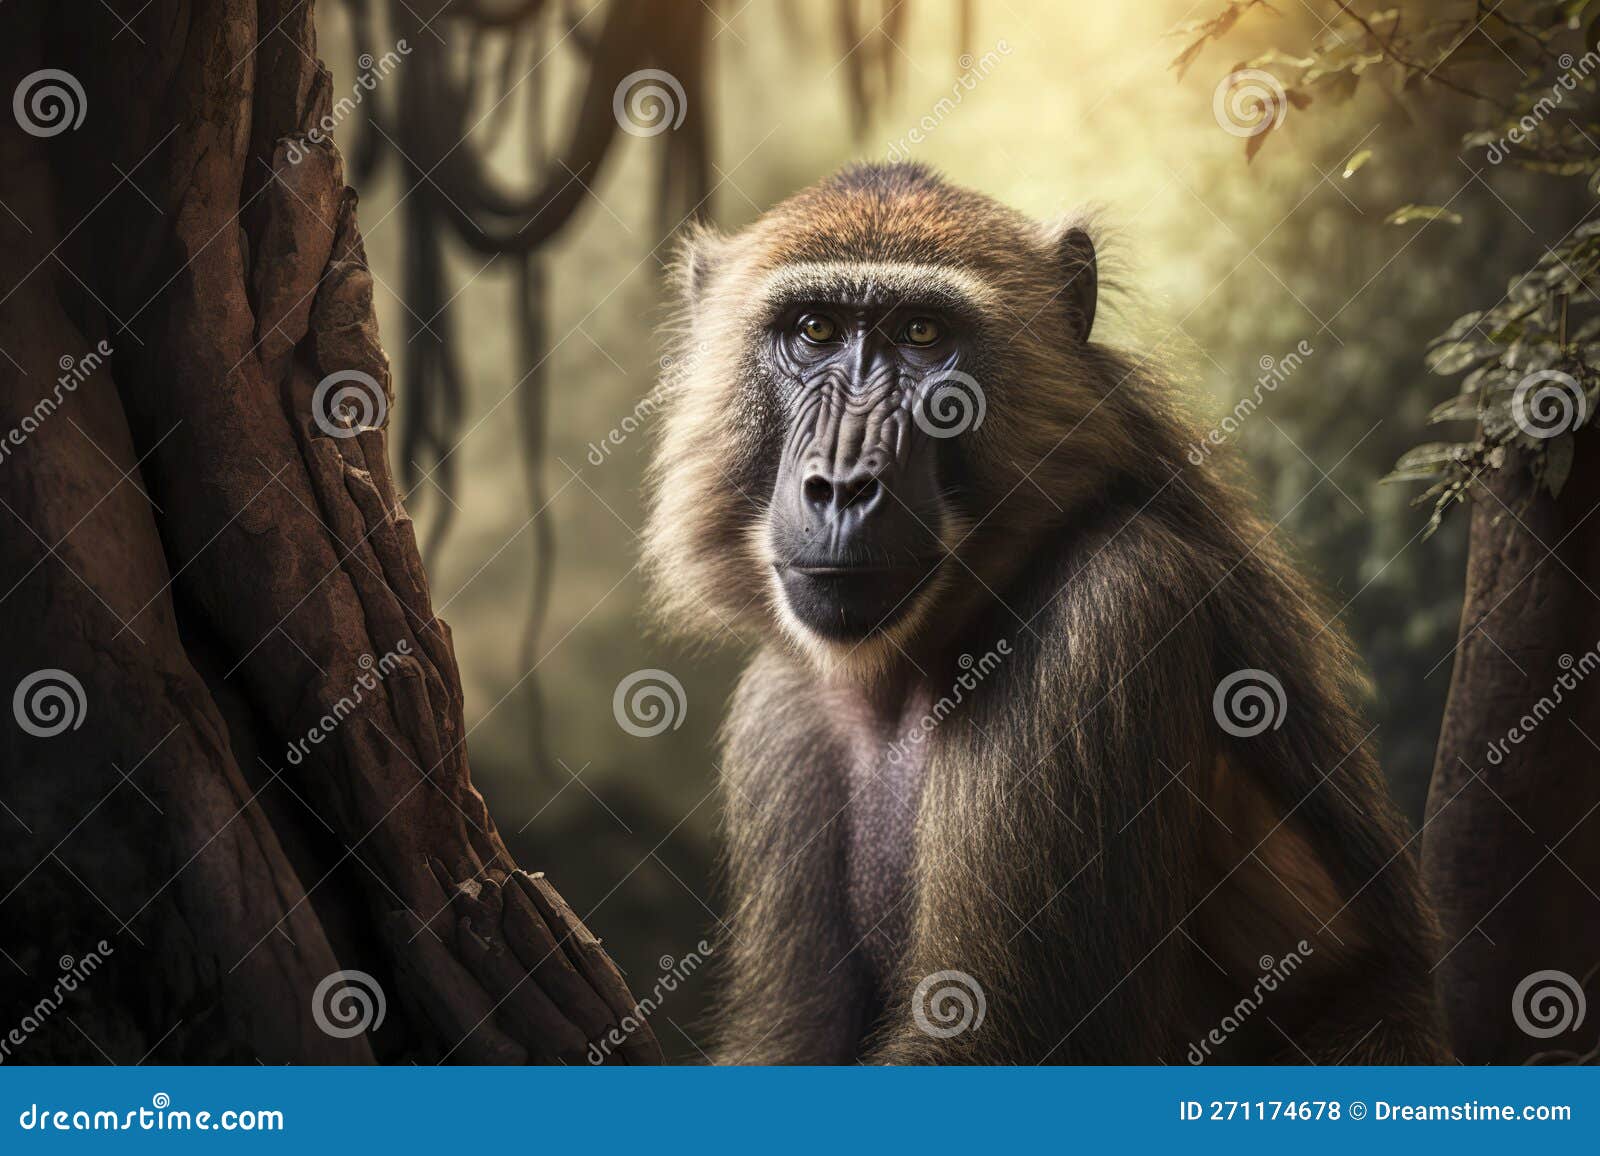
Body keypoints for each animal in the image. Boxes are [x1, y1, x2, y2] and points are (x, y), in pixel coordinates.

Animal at [641, 163, 1448, 1065]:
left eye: (922, 332)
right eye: (814, 330)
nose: (844, 483)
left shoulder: (1111, 610)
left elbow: (994, 1041)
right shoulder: (781, 711)